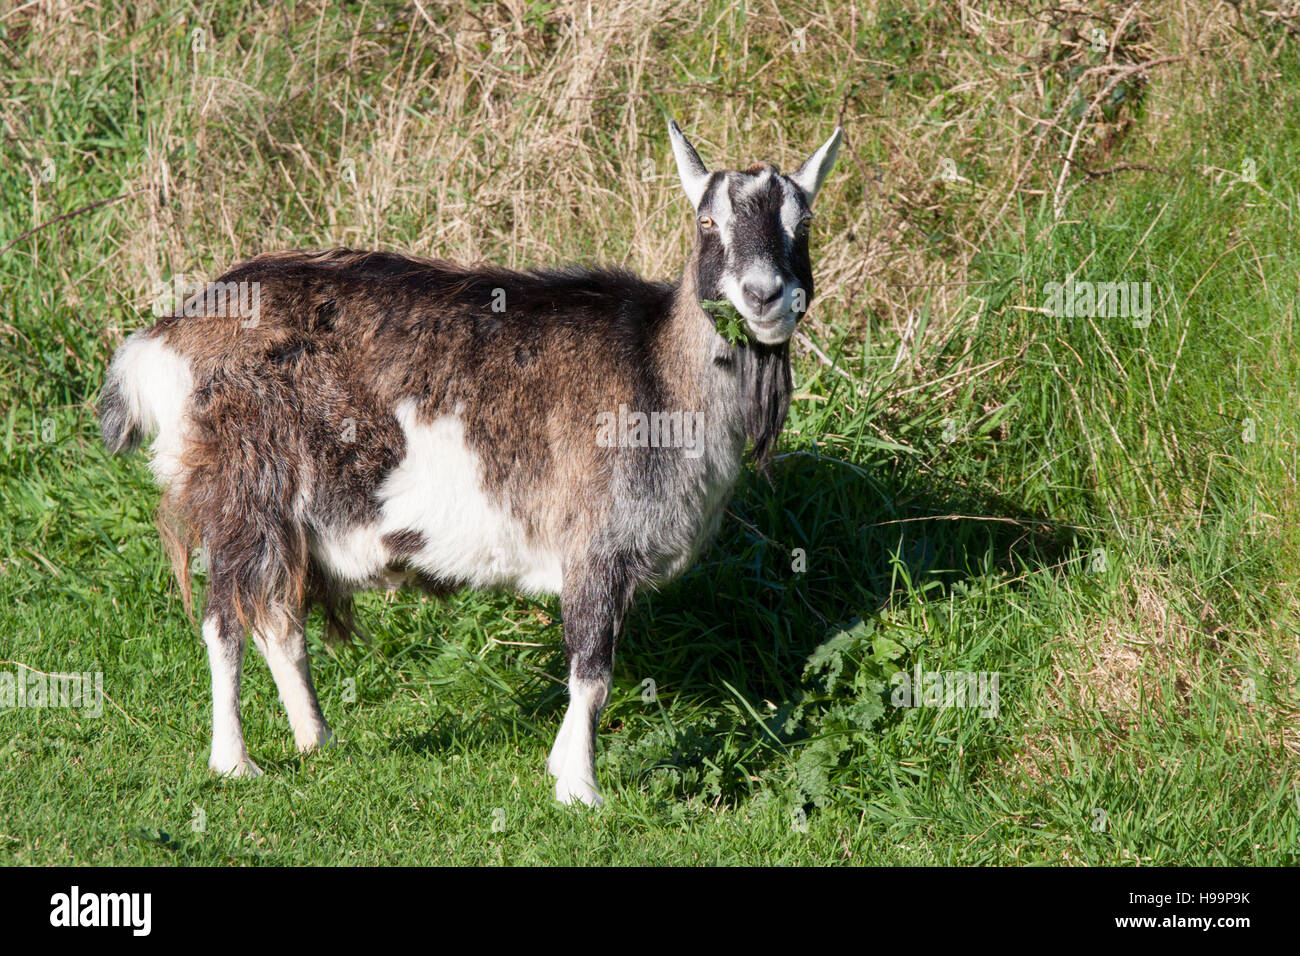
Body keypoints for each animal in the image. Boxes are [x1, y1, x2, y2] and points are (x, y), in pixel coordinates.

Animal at [98, 121, 842, 807]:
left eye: (802, 223)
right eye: (708, 221)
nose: (764, 295)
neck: (658, 370)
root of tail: (163, 338)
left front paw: (564, 772)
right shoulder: (594, 543)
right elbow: (592, 672)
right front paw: (579, 787)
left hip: (287, 515)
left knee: (278, 617)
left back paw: (318, 740)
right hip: (237, 487)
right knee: (224, 618)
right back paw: (235, 762)